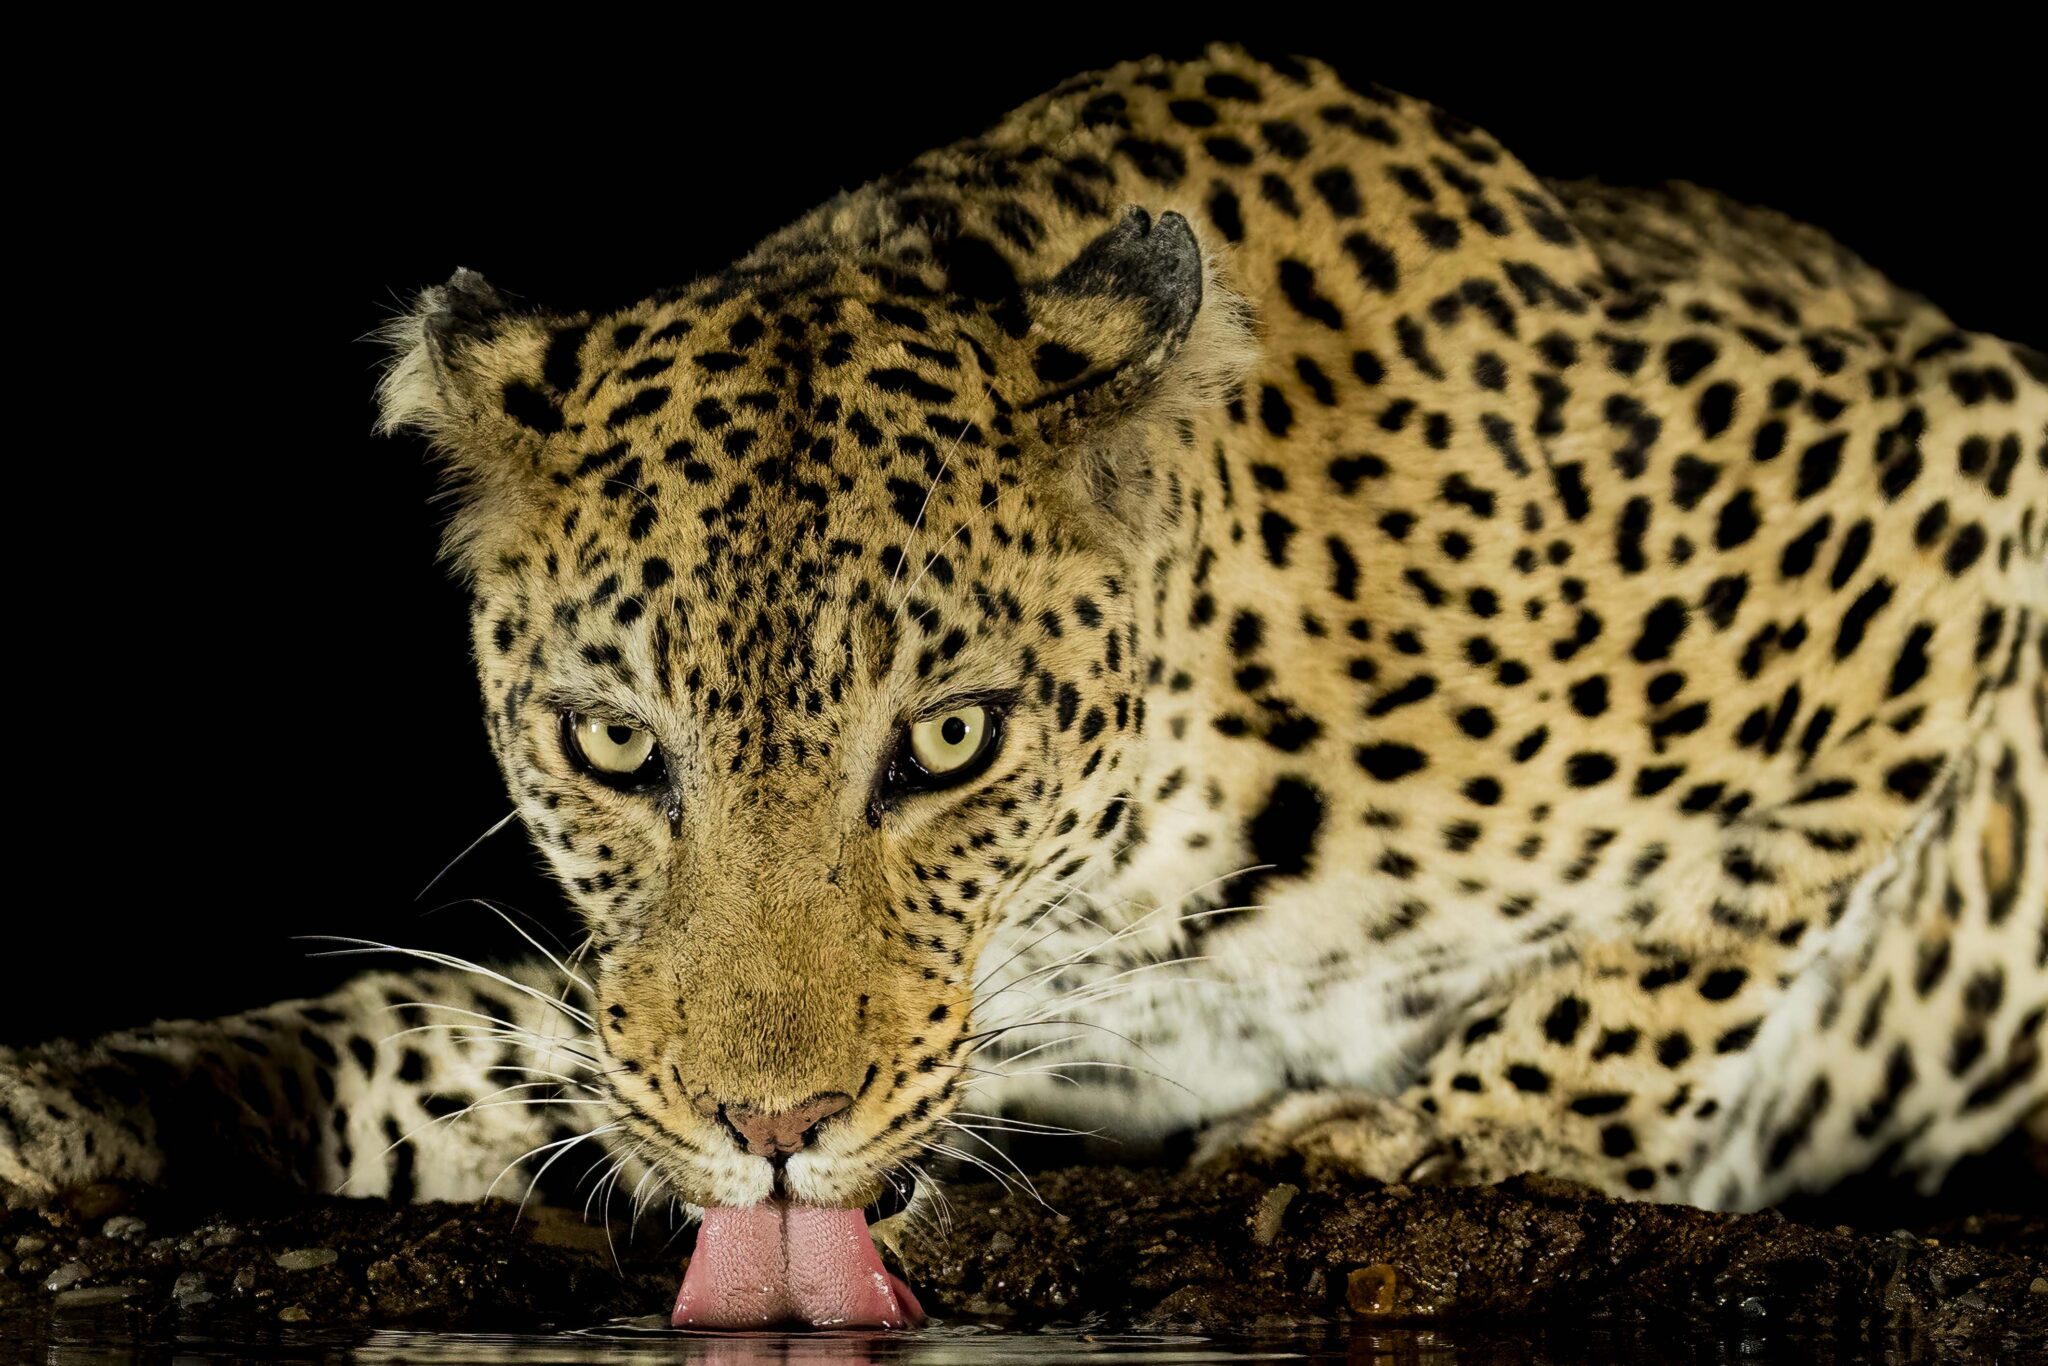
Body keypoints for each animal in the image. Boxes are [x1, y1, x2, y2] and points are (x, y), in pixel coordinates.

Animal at [5, 47, 2043, 1257]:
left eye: (953, 742)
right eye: (612, 746)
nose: (773, 1128)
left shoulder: (1948, 459)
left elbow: (1692, 936)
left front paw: (1473, 1134)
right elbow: (482, 1033)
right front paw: (119, 1095)